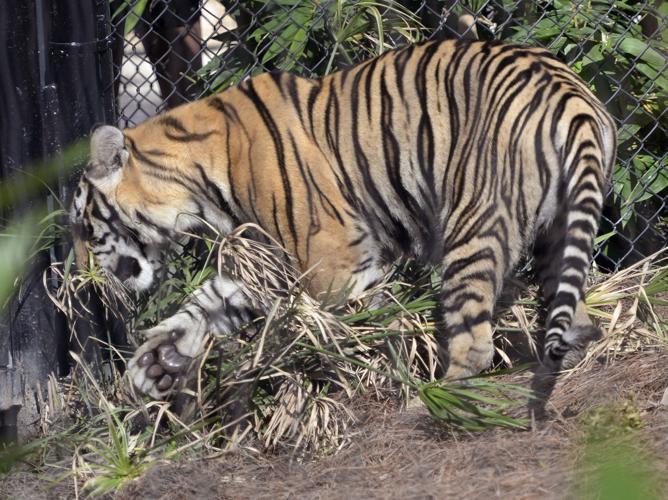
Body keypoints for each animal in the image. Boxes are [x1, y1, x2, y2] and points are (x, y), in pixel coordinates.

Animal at [70, 38, 616, 399]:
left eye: (81, 226)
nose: (80, 277)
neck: (197, 187)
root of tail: (570, 94)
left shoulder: (330, 260)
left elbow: (362, 325)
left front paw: (371, 375)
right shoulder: (269, 259)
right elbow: (202, 305)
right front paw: (153, 365)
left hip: (472, 225)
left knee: (474, 334)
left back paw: (441, 394)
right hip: (559, 228)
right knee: (569, 301)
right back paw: (573, 349)